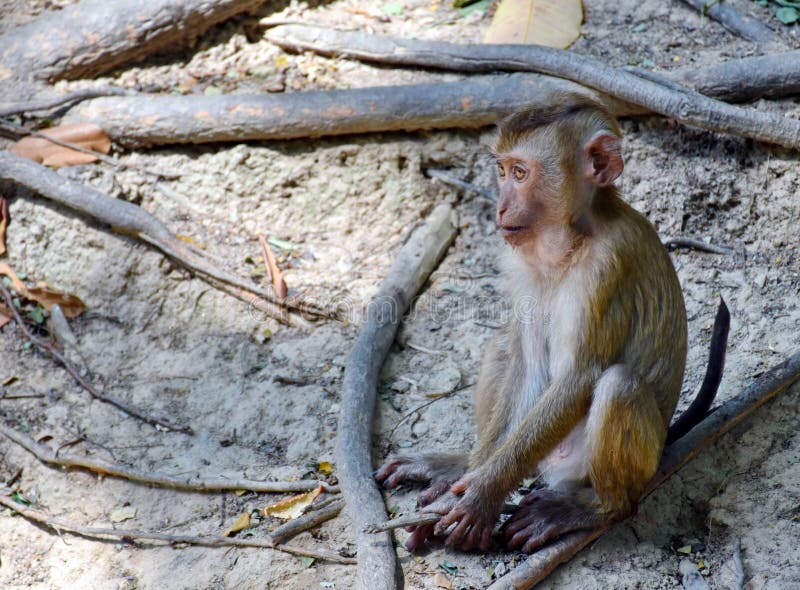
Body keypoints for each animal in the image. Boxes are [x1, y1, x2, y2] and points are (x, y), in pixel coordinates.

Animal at [375, 92, 729, 553]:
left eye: (521, 173)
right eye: (503, 171)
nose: (501, 206)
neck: (569, 241)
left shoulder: (607, 265)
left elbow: (580, 377)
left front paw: (482, 495)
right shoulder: (519, 261)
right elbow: (527, 364)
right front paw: (467, 485)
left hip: (594, 465)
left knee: (617, 386)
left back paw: (595, 508)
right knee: (505, 345)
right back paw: (456, 466)